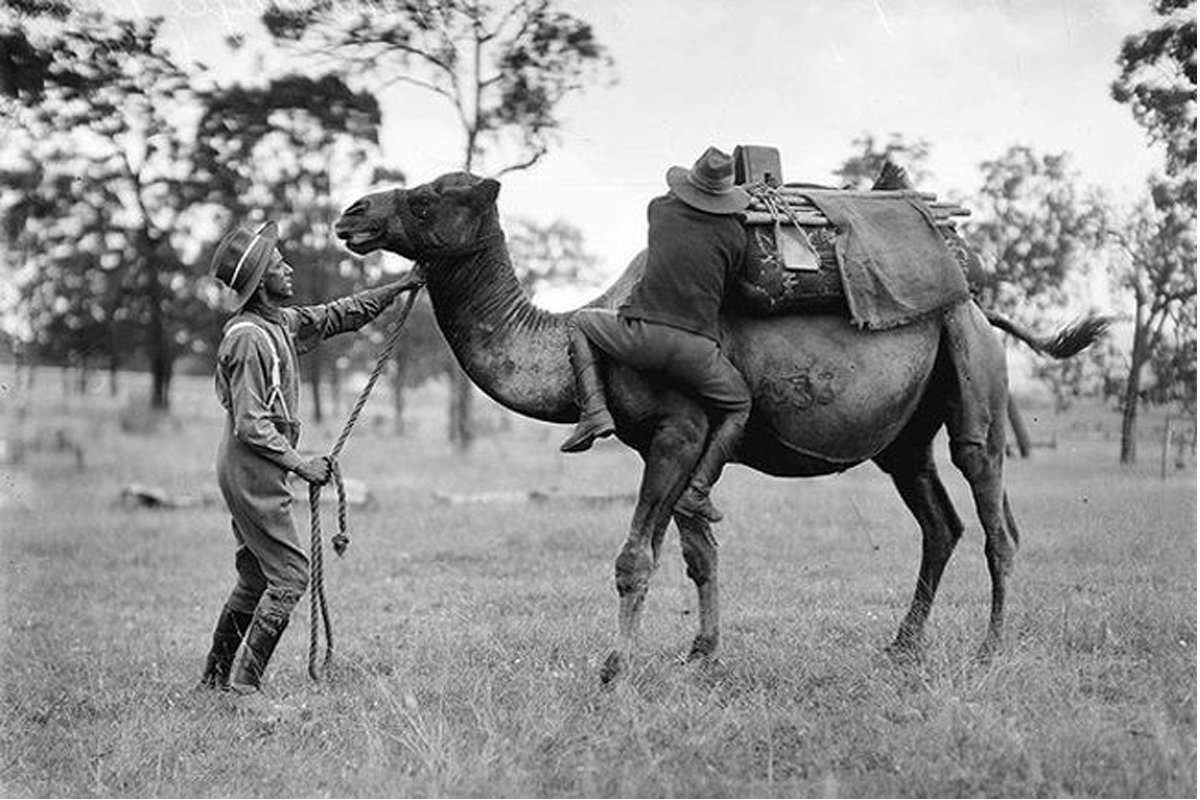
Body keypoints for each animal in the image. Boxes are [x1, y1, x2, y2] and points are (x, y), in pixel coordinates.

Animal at [334, 171, 1107, 683]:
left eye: (427, 196)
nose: (351, 214)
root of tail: (977, 301)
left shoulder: (676, 432)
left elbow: (635, 557)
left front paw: (615, 667)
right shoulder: (676, 442)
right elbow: (698, 551)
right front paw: (700, 655)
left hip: (972, 375)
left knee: (993, 510)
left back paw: (988, 650)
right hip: (904, 436)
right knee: (939, 522)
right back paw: (903, 645)